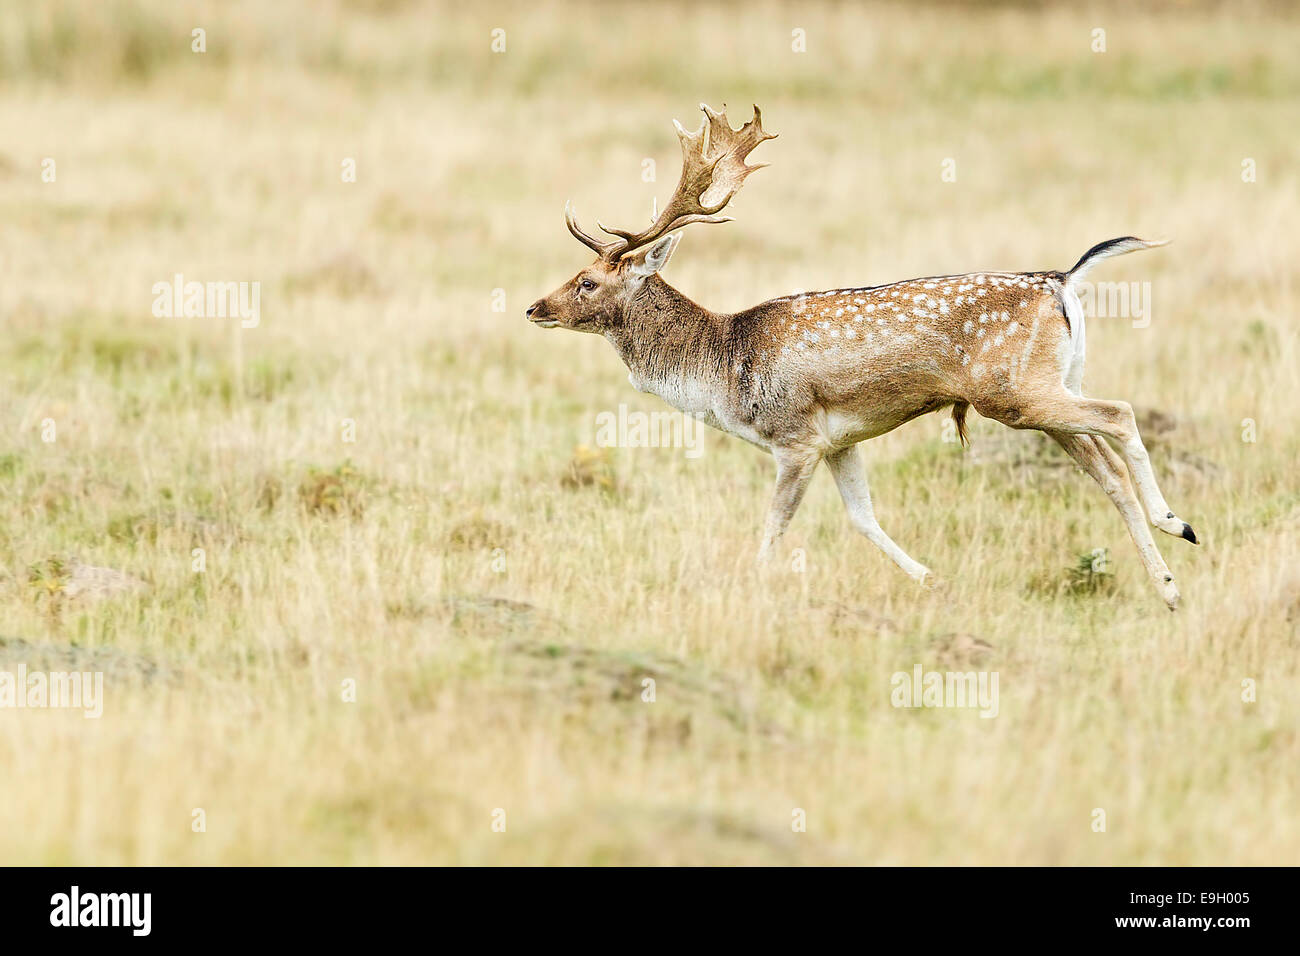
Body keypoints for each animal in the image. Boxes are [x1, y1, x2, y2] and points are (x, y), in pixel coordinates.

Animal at [526, 103, 1198, 610]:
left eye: (587, 282)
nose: (535, 307)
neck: (723, 366)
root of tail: (1062, 279)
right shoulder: (839, 441)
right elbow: (862, 517)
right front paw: (934, 580)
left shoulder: (795, 437)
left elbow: (776, 523)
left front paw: (754, 586)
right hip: (1047, 388)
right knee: (1104, 467)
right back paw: (1168, 586)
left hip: (1014, 392)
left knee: (1120, 413)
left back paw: (1177, 524)